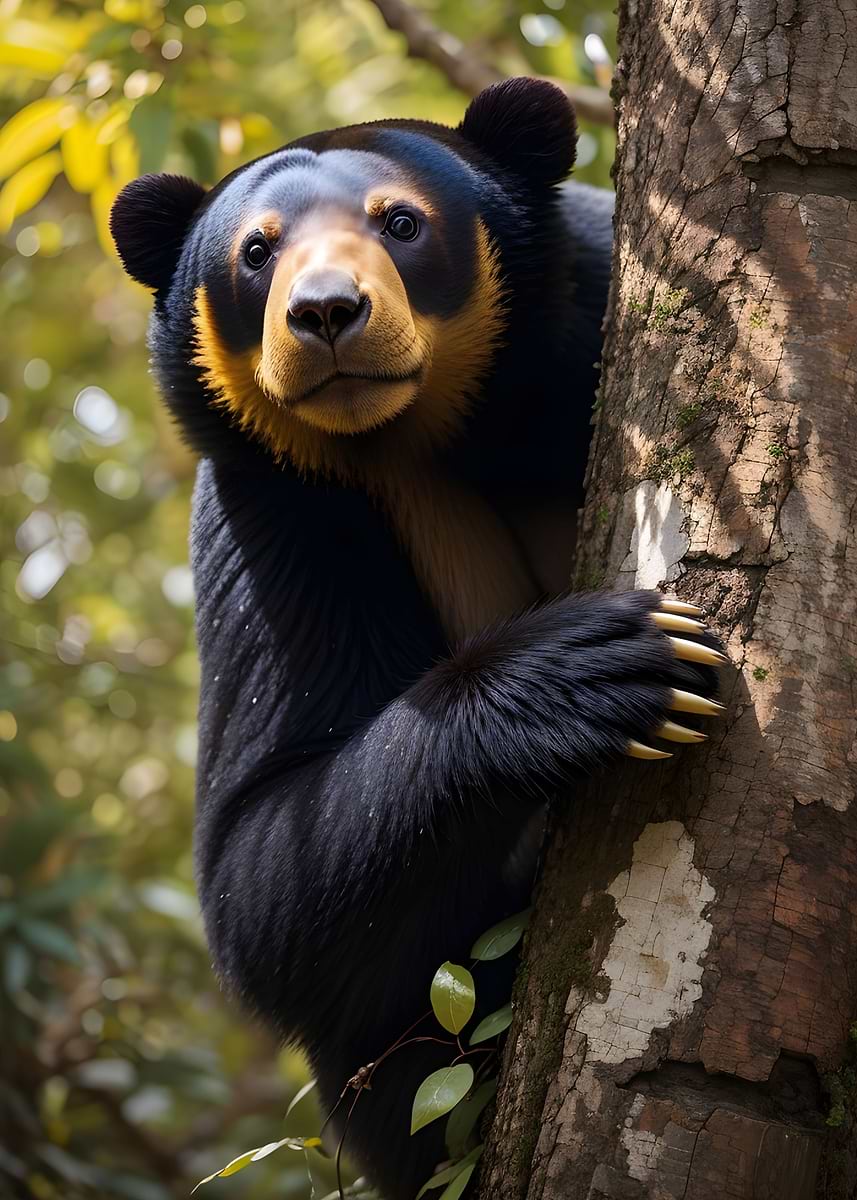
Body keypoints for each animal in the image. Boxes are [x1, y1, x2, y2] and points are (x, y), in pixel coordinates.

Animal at [110, 77, 724, 1199]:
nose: (324, 314)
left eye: (400, 222)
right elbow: (264, 876)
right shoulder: (271, 513)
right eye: (255, 252)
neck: (452, 435)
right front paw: (600, 665)